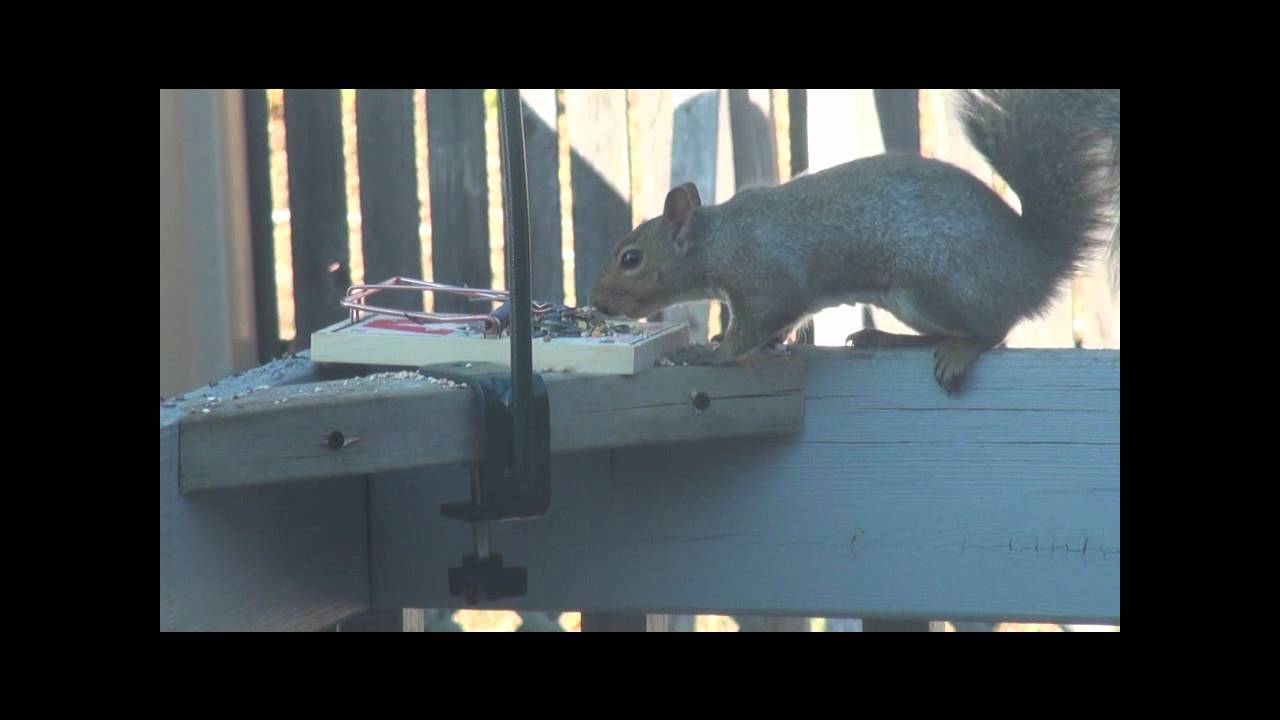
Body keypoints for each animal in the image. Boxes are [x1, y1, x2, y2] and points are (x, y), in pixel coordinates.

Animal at [589, 89, 1120, 393]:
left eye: (631, 258)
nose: (597, 303)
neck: (720, 240)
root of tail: (1035, 263)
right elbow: (780, 325)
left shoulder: (769, 278)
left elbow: (758, 324)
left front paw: (710, 353)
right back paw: (881, 337)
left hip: (935, 287)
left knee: (991, 333)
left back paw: (954, 351)